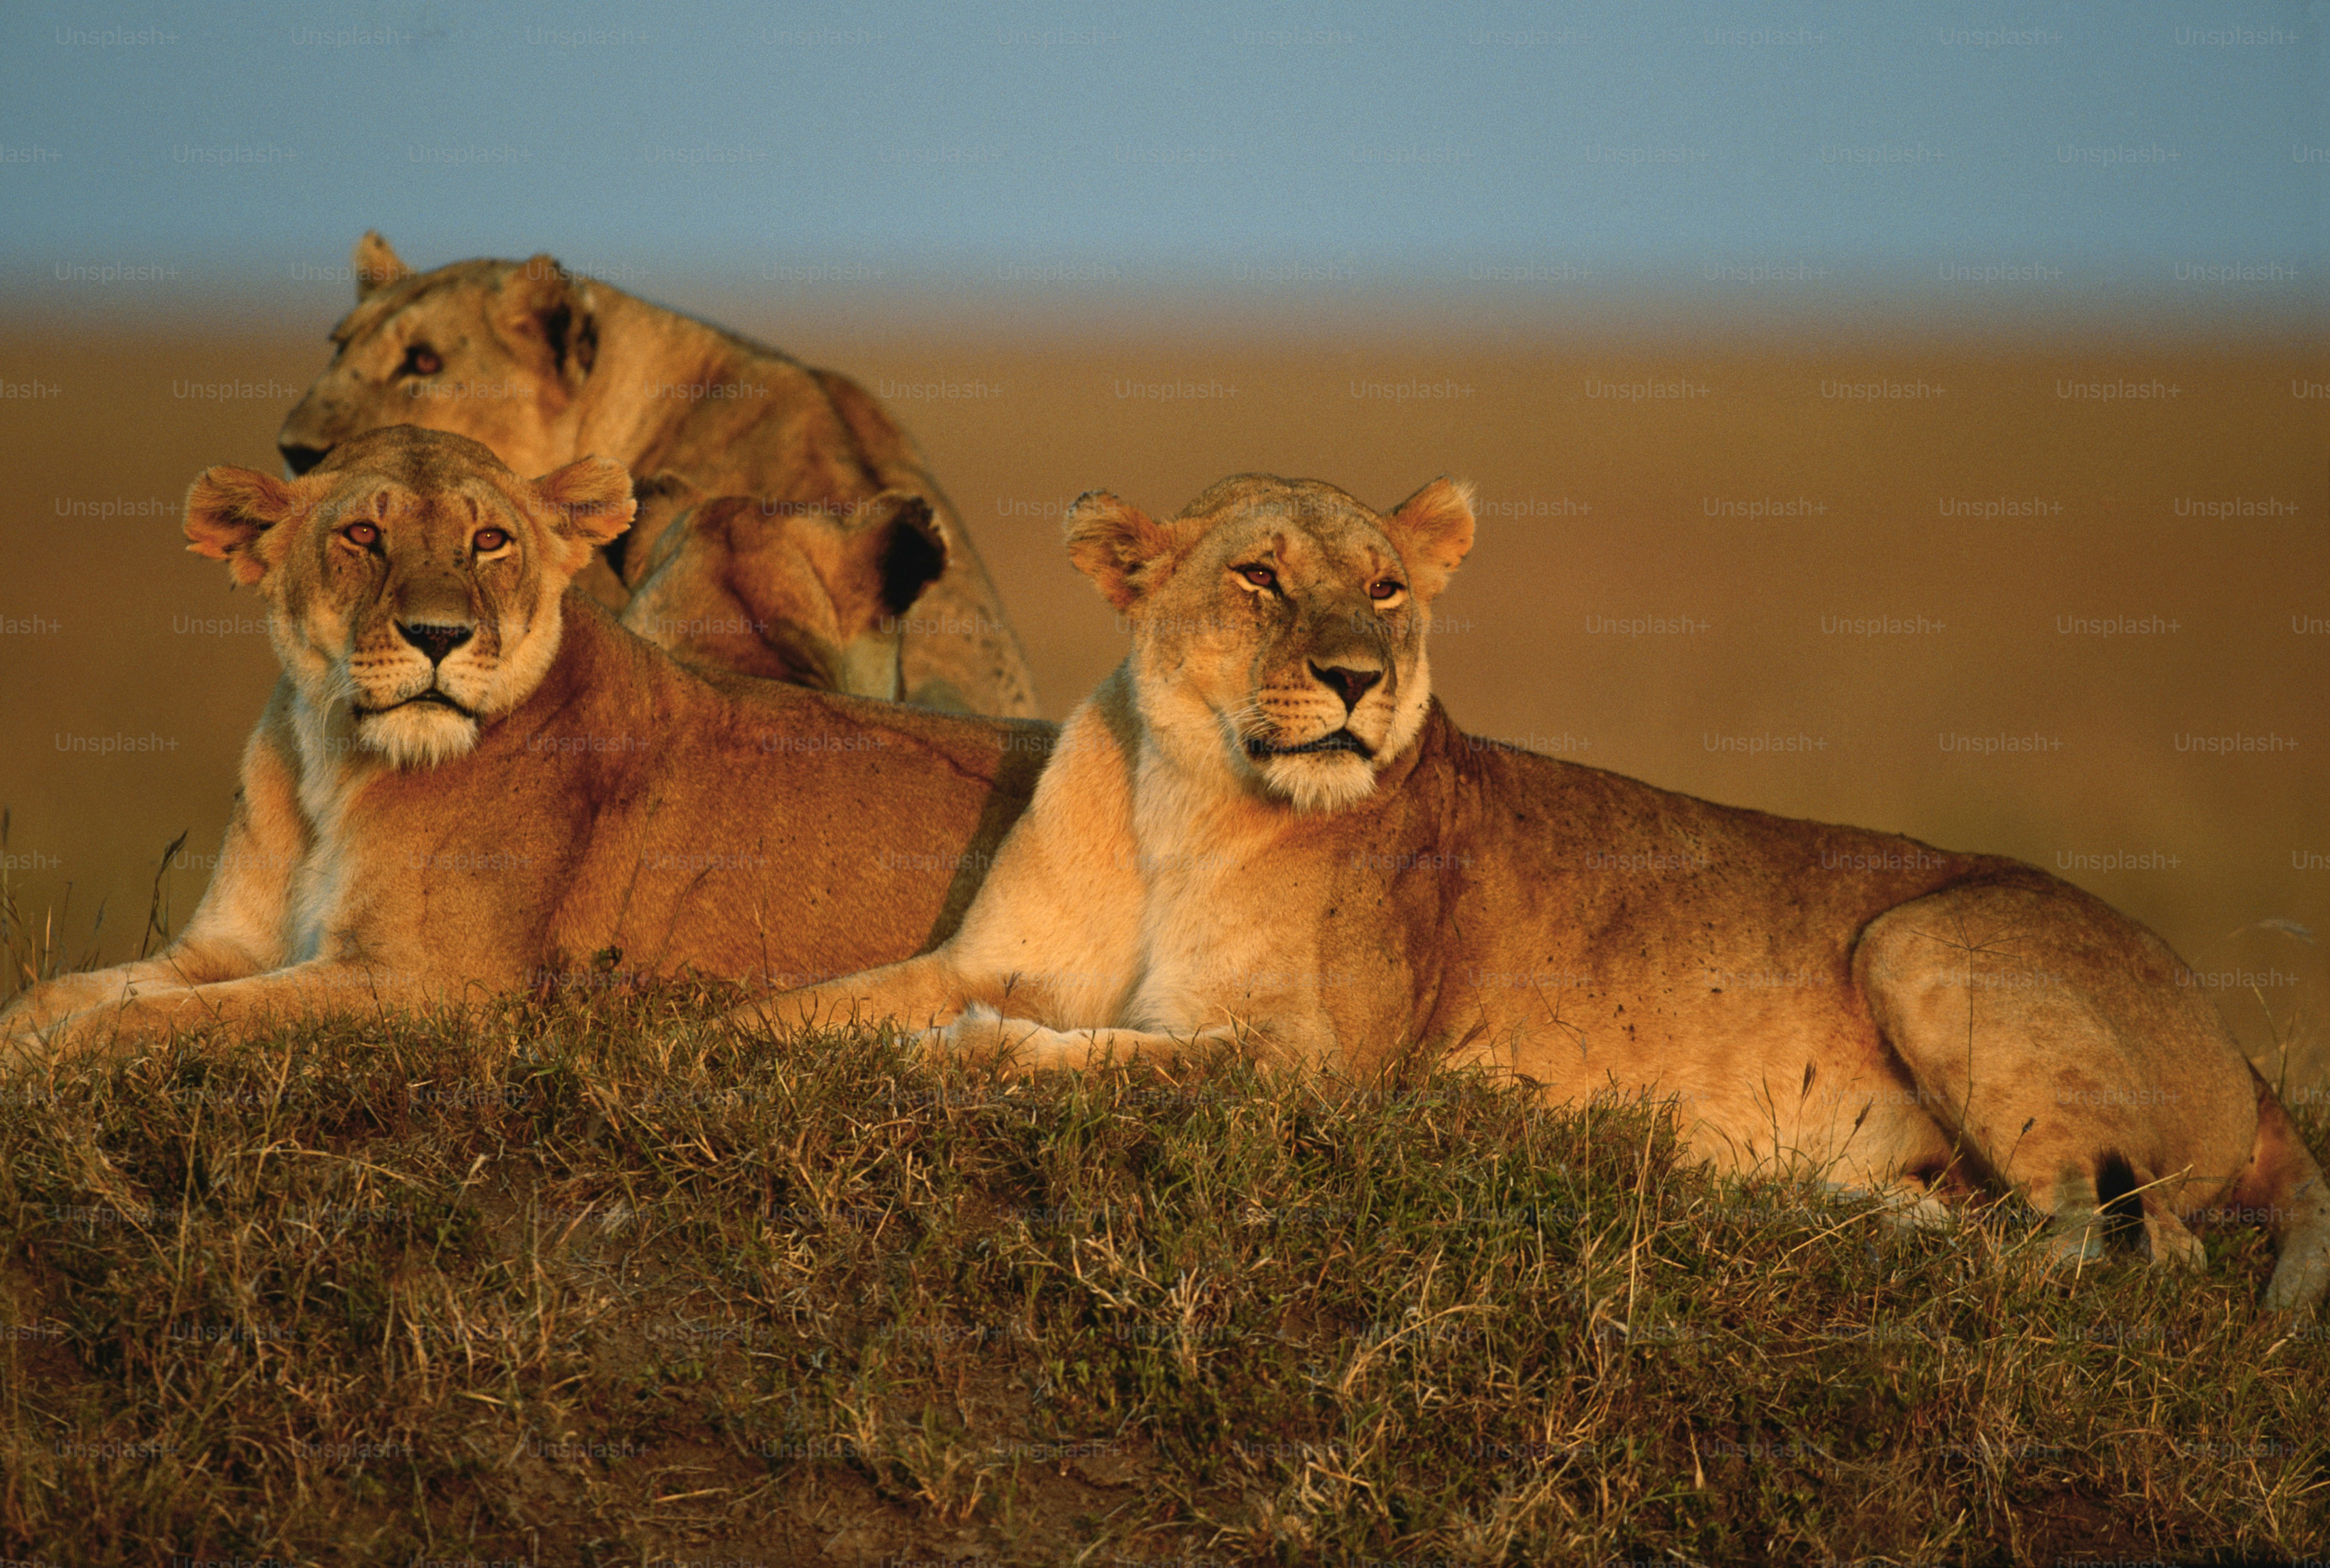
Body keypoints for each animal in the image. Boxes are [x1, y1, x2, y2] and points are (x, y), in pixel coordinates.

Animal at [749, 473, 2330, 1311]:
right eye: (1260, 576)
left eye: (1387, 589)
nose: (1356, 679)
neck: (1177, 803)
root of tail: (2247, 1070)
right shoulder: (983, 951)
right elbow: (824, 1001)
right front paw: (718, 1031)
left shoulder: (1310, 1071)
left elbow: (1100, 1059)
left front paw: (973, 1055)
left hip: (1924, 938)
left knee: (2118, 1247)